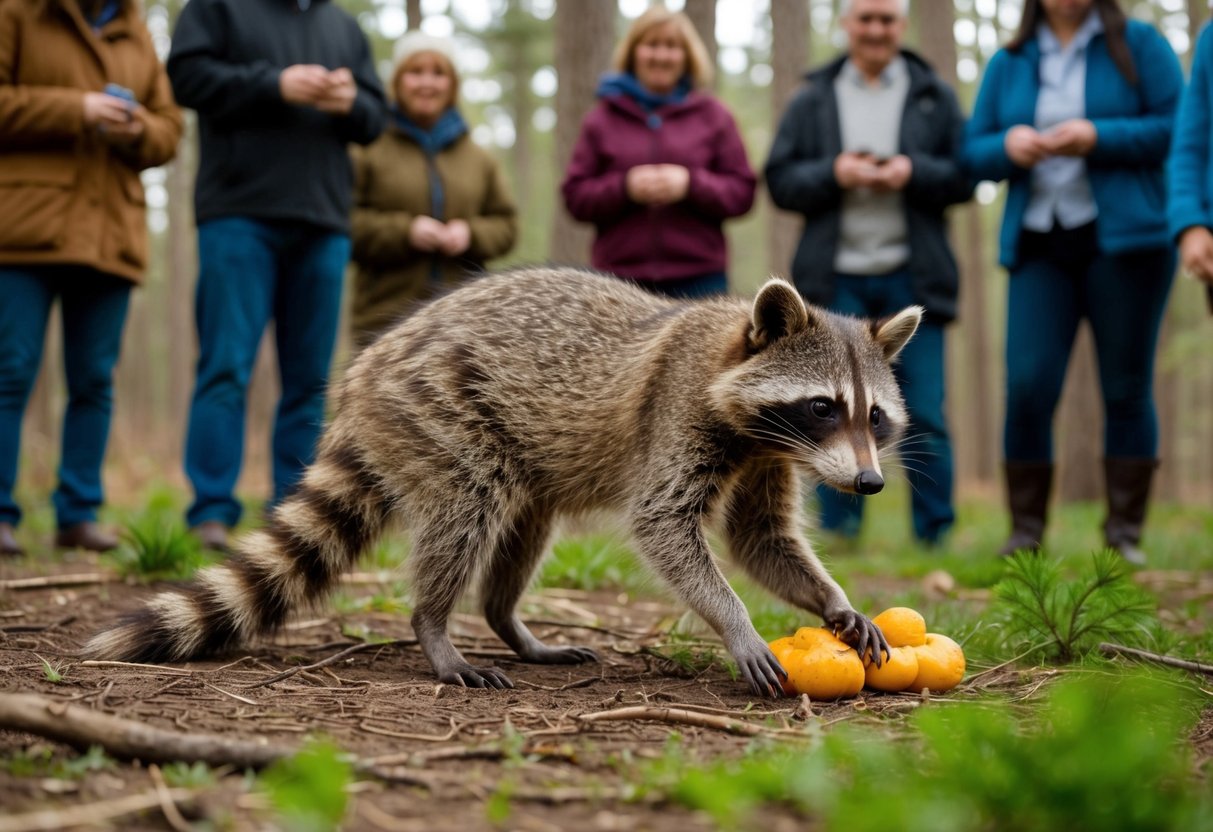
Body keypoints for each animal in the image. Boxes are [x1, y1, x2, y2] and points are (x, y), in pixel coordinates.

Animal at [84, 267, 920, 698]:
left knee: (522, 528)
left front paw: (833, 602)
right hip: (440, 414)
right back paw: (434, 627)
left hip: (524, 453)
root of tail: (364, 374)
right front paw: (736, 620)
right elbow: (664, 527)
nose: (870, 485)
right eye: (822, 406)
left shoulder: (767, 456)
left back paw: (505, 621)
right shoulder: (678, 412)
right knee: (465, 511)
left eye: (874, 417)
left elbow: (760, 538)